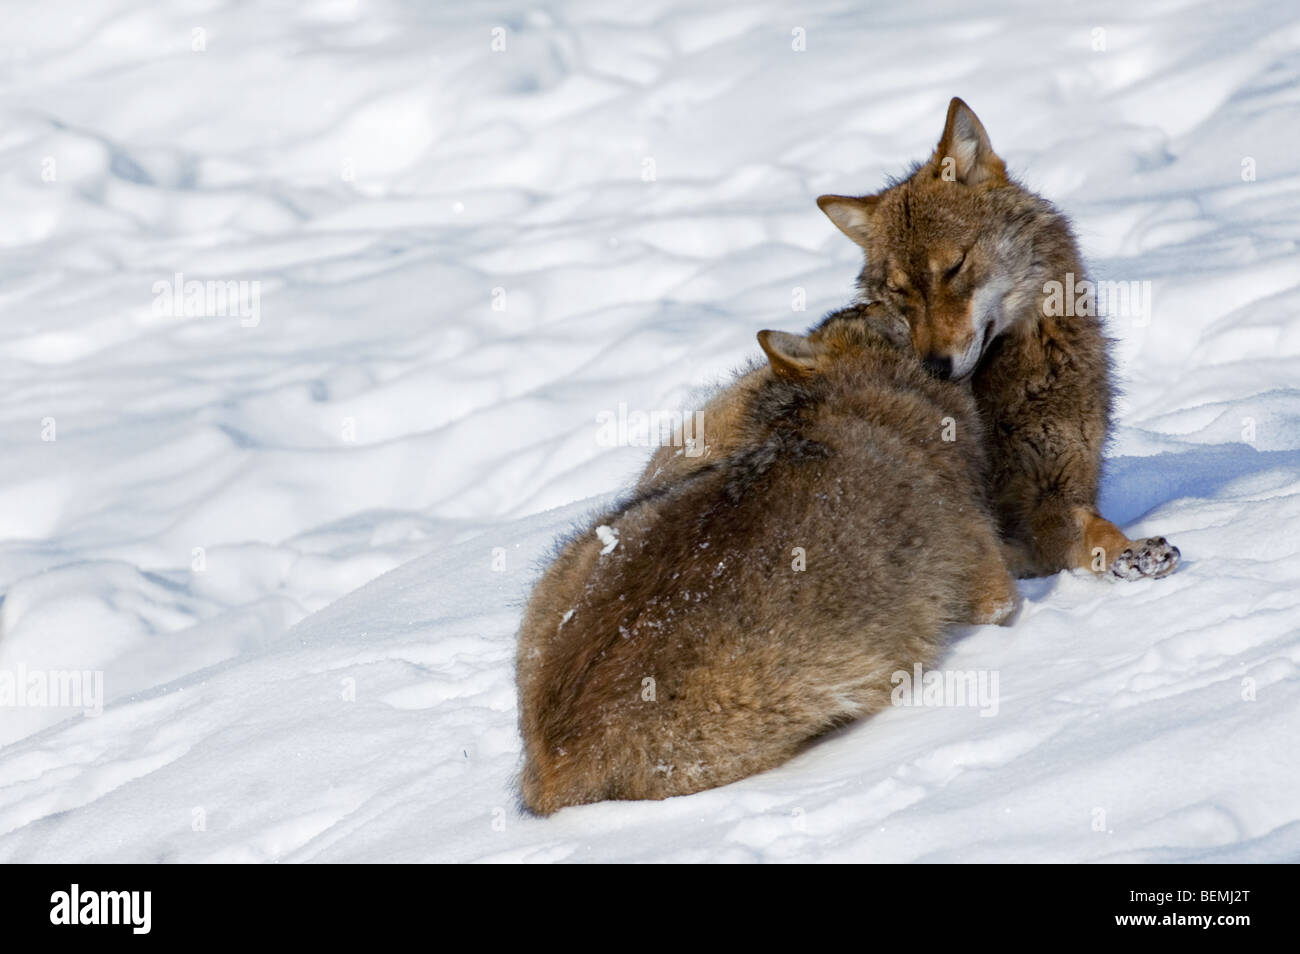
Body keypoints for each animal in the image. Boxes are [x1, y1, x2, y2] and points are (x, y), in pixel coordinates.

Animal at [817, 98, 1179, 581]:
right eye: (900, 292)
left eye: (954, 267)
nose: (934, 367)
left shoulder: (1054, 488)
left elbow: (1098, 530)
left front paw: (1135, 552)